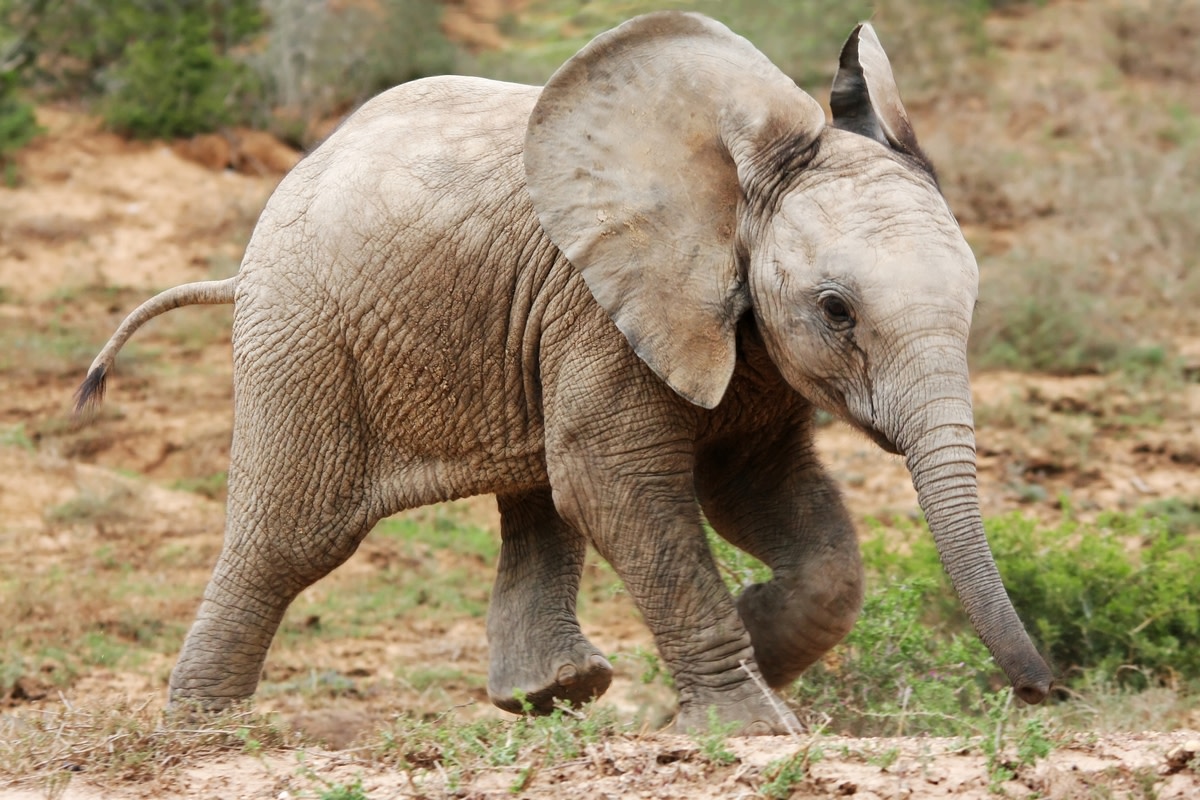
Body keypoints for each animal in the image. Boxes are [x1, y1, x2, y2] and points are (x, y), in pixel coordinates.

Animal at [76, 11, 1052, 735]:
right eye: (837, 310)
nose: (1043, 692)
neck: (736, 183)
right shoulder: (601, 303)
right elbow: (618, 484)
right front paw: (751, 724)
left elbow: (761, 496)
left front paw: (756, 643)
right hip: (303, 336)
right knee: (293, 535)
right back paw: (204, 733)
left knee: (534, 498)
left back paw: (554, 694)